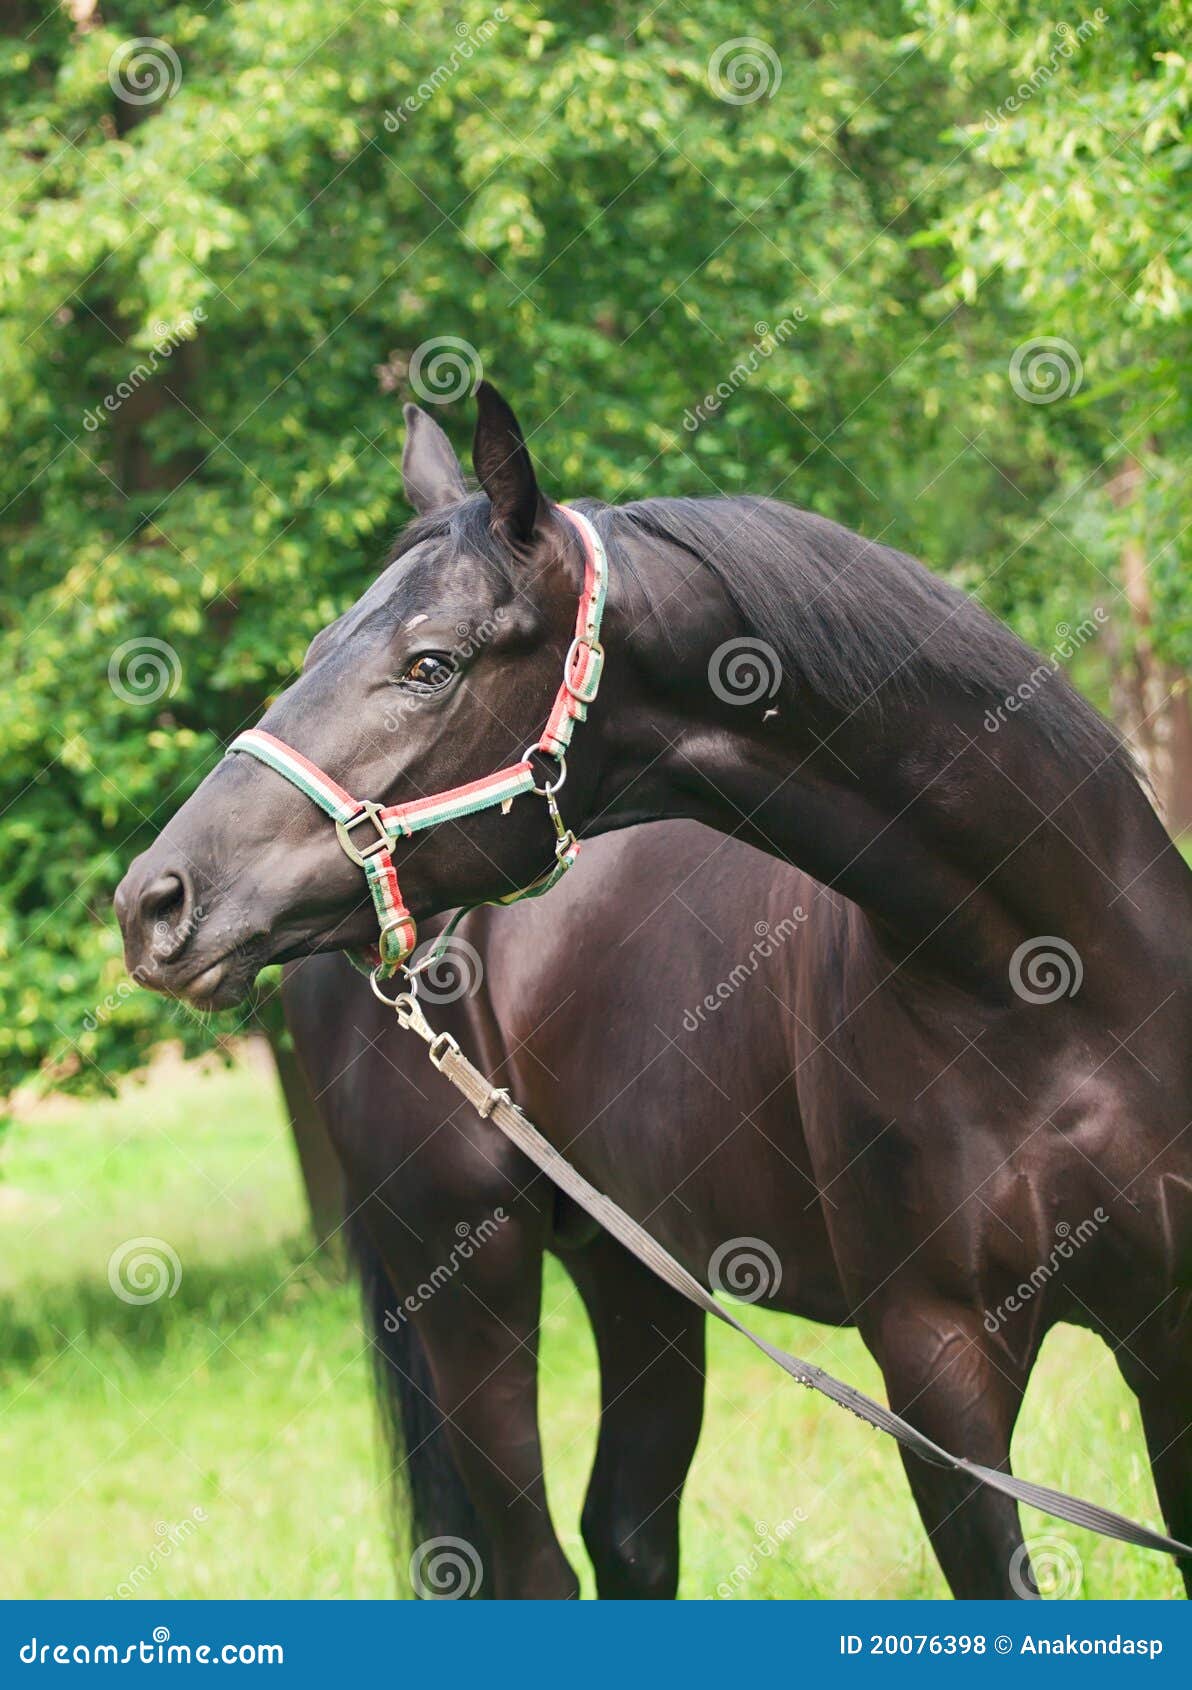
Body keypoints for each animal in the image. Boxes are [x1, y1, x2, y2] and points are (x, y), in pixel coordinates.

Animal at [116, 384, 1192, 1599]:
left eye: (430, 664)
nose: (154, 902)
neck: (1042, 986)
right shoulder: (938, 1368)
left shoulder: (1169, 1343)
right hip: (469, 1281)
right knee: (534, 1560)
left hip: (633, 1276)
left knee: (625, 1531)